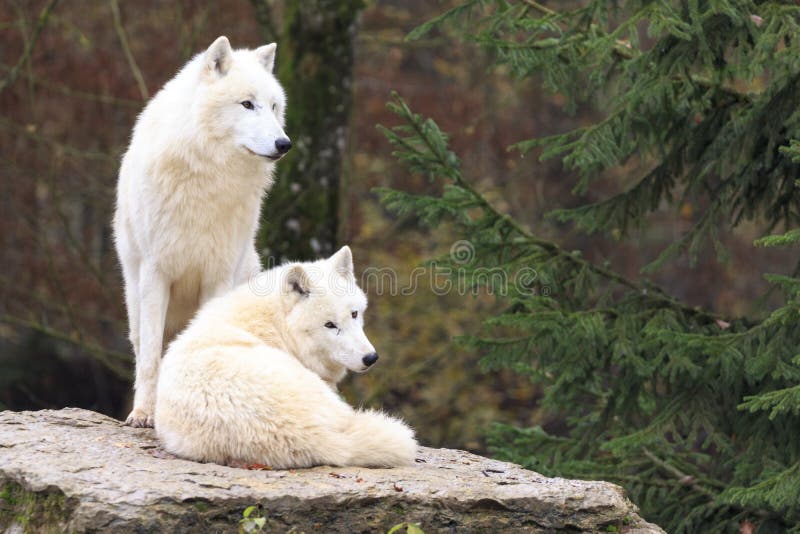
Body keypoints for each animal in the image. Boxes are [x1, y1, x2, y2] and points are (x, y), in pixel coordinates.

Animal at [113, 36, 291, 427]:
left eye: (274, 107)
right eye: (247, 104)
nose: (284, 144)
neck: (209, 176)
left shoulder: (217, 276)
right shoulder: (156, 272)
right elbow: (150, 359)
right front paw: (143, 414)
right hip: (134, 301)